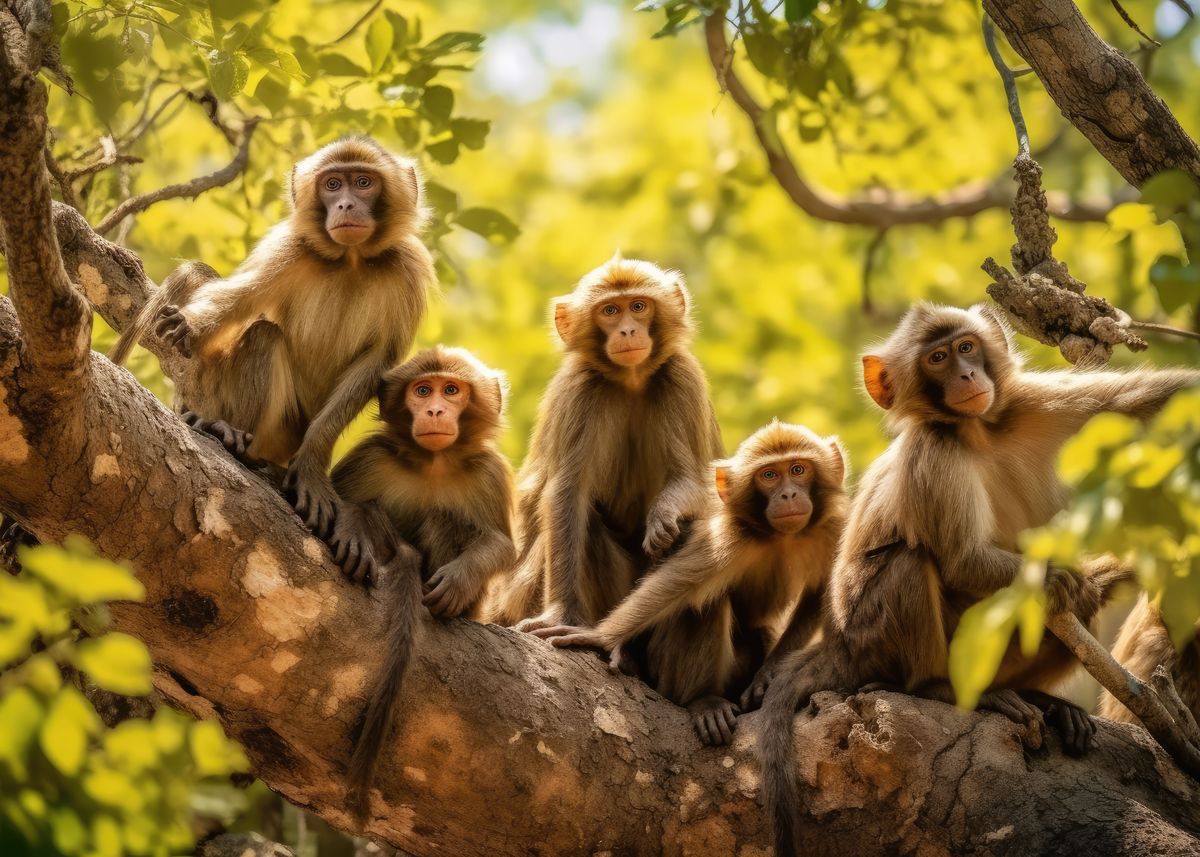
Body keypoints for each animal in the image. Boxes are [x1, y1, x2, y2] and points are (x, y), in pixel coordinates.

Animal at [110, 135, 434, 540]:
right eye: (332, 185)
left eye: (363, 183)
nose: (345, 204)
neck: (351, 259)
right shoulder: (286, 249)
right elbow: (239, 300)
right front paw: (195, 324)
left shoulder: (408, 271)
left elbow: (378, 362)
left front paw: (311, 468)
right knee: (263, 335)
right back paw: (225, 432)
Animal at [322, 346, 516, 820]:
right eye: (423, 390)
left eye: (452, 391)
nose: (434, 410)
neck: (434, 463)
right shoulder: (371, 456)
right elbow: (337, 499)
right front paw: (353, 526)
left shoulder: (489, 473)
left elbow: (502, 545)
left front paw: (461, 579)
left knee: (447, 518)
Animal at [484, 254, 723, 635]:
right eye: (610, 311)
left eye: (638, 306)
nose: (627, 331)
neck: (631, 381)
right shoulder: (579, 388)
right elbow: (567, 494)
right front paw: (559, 613)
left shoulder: (681, 375)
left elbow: (690, 480)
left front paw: (664, 516)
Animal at [533, 420, 847, 745]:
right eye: (769, 475)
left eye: (798, 469)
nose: (788, 495)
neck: (781, 537)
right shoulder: (729, 538)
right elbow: (676, 584)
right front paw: (598, 636)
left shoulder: (833, 529)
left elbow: (818, 596)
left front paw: (769, 674)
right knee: (704, 604)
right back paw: (703, 701)